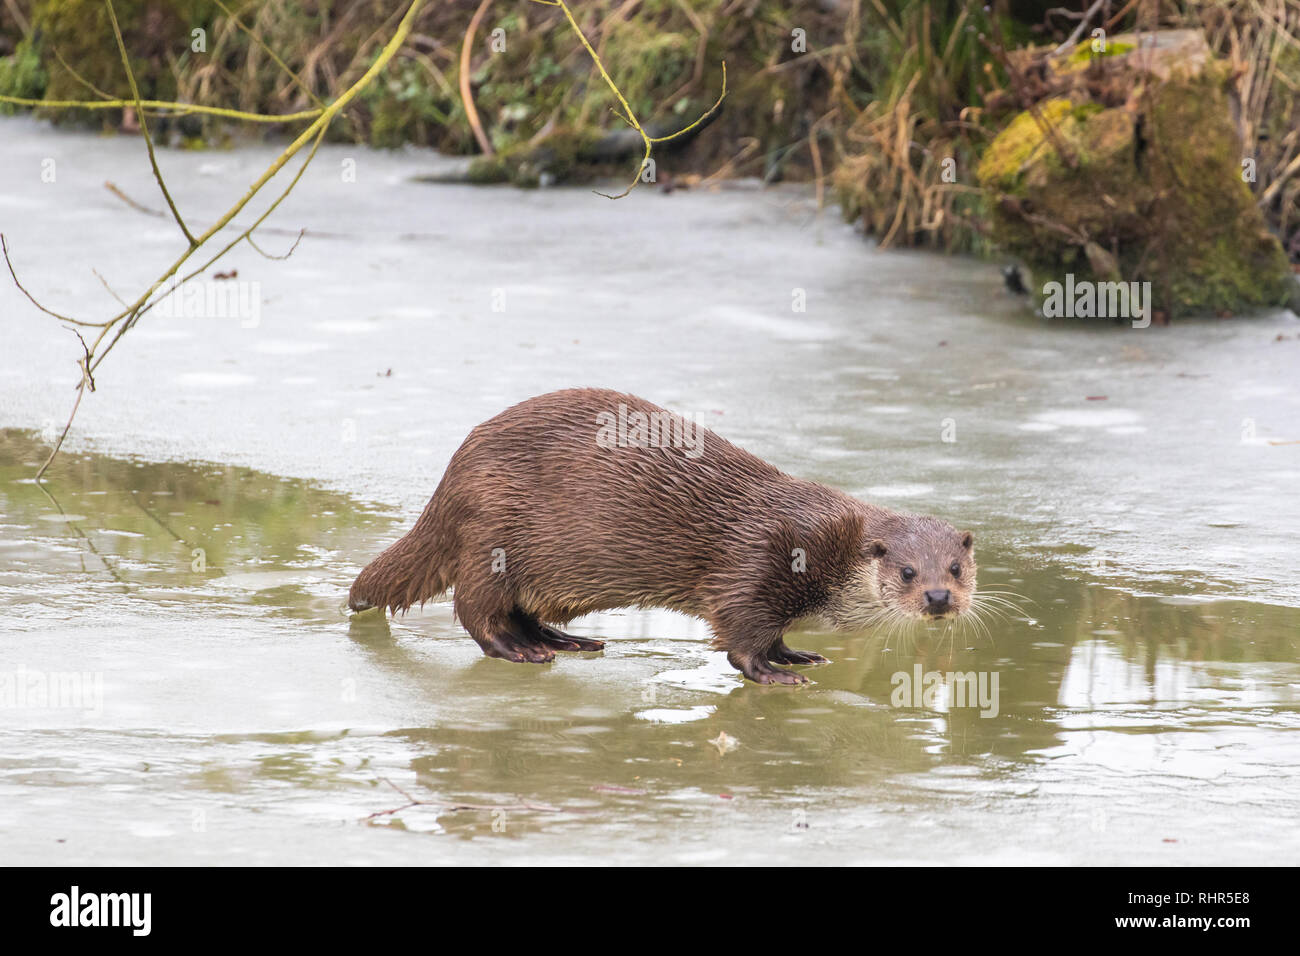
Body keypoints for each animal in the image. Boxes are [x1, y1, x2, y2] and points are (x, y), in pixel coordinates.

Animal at [348, 388, 976, 684]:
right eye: (907, 572)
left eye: (956, 568)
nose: (938, 598)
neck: (829, 542)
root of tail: (454, 471)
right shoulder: (758, 563)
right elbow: (741, 638)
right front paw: (773, 673)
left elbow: (773, 636)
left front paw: (796, 653)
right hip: (493, 534)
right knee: (475, 609)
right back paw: (520, 650)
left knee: (519, 609)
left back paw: (565, 640)